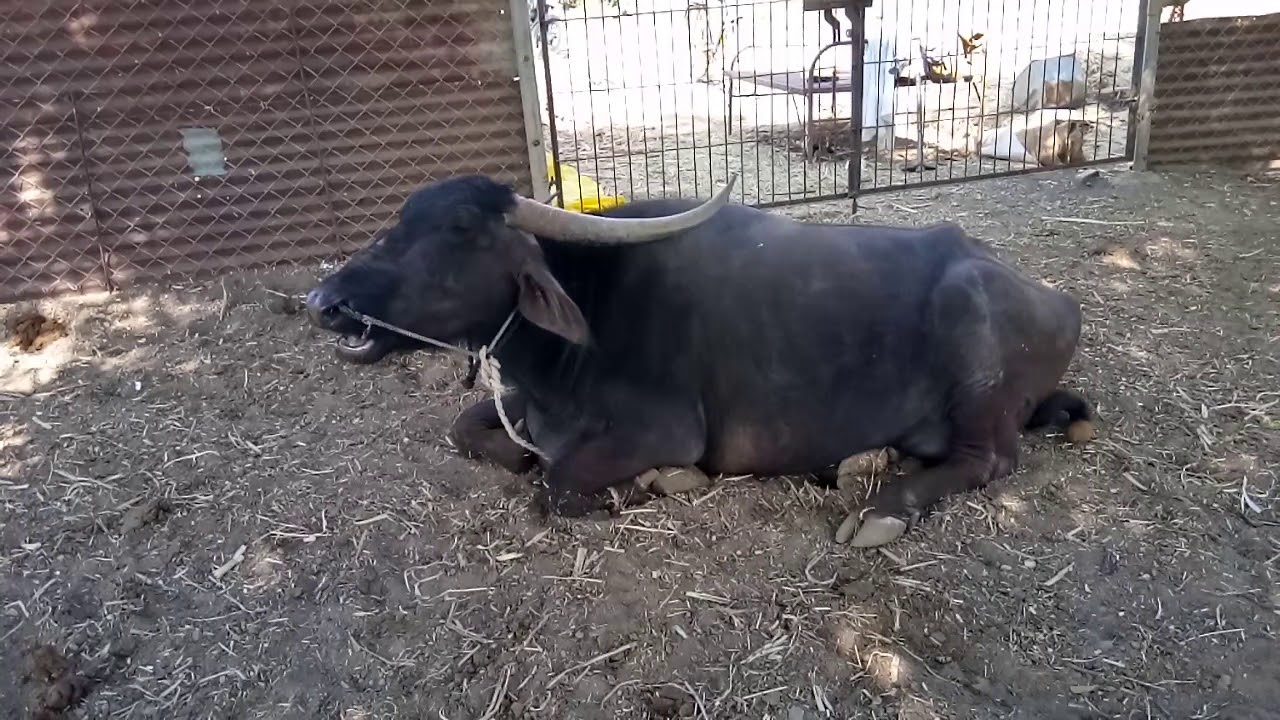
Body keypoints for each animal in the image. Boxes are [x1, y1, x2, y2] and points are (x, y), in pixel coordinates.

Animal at [304, 174, 1095, 547]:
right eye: (400, 219)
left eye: (460, 230)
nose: (326, 301)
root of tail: (1059, 301)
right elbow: (470, 432)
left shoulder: (664, 430)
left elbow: (557, 484)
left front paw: (654, 484)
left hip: (975, 366)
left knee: (990, 459)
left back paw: (881, 509)